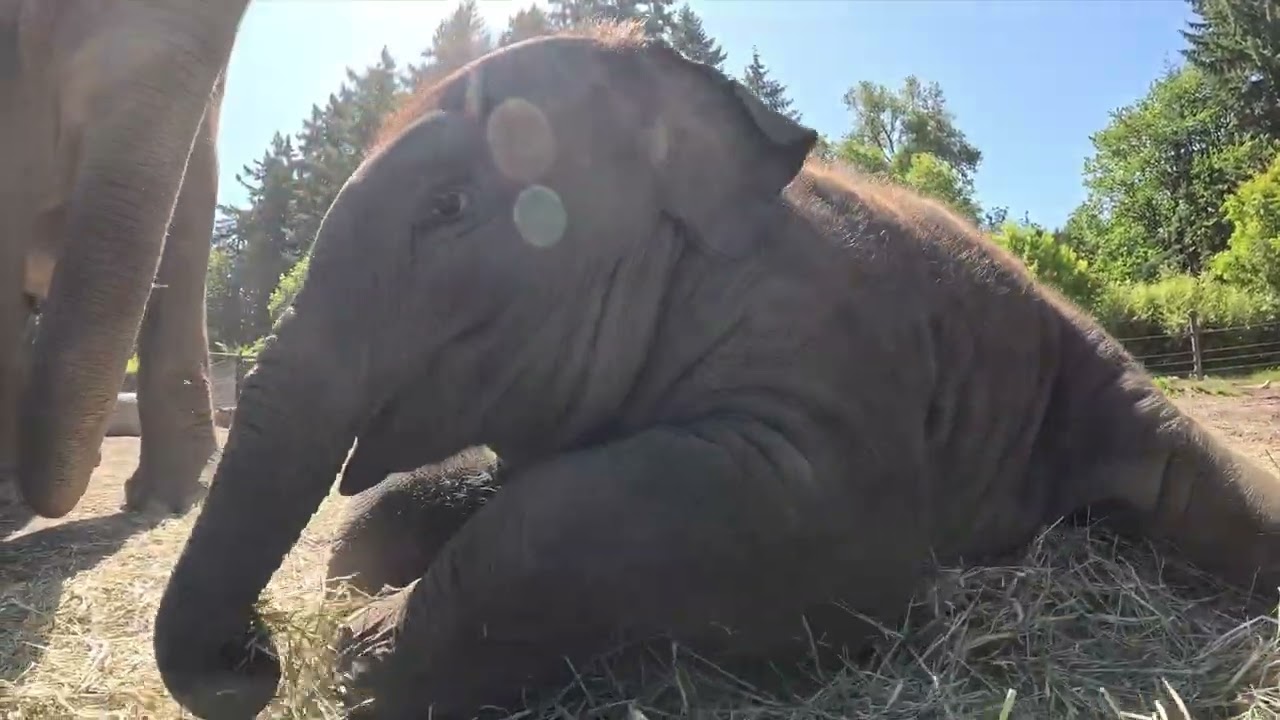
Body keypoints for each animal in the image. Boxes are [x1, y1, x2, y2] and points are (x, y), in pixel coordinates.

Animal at [153, 21, 1280, 720]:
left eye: (448, 208)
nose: (252, 652)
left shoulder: (827, 352)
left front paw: (360, 649)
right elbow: (452, 496)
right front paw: (356, 596)